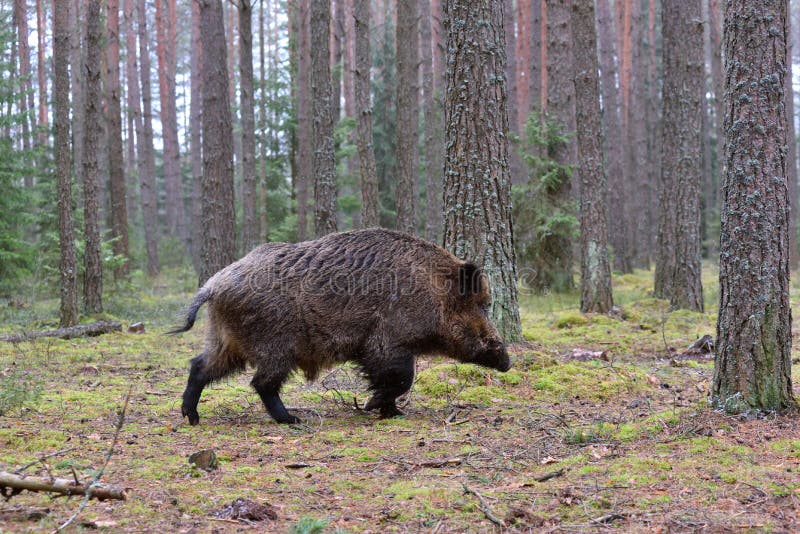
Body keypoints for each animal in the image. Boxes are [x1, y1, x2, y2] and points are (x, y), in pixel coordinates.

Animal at [169, 228, 511, 425]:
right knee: (262, 383)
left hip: (228, 340)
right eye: (481, 305)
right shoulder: (386, 342)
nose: (508, 362)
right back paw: (292, 420)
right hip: (274, 345)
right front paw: (376, 407)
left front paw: (393, 412)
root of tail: (212, 285)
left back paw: (192, 417)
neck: (433, 291)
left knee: (200, 365)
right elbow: (402, 378)